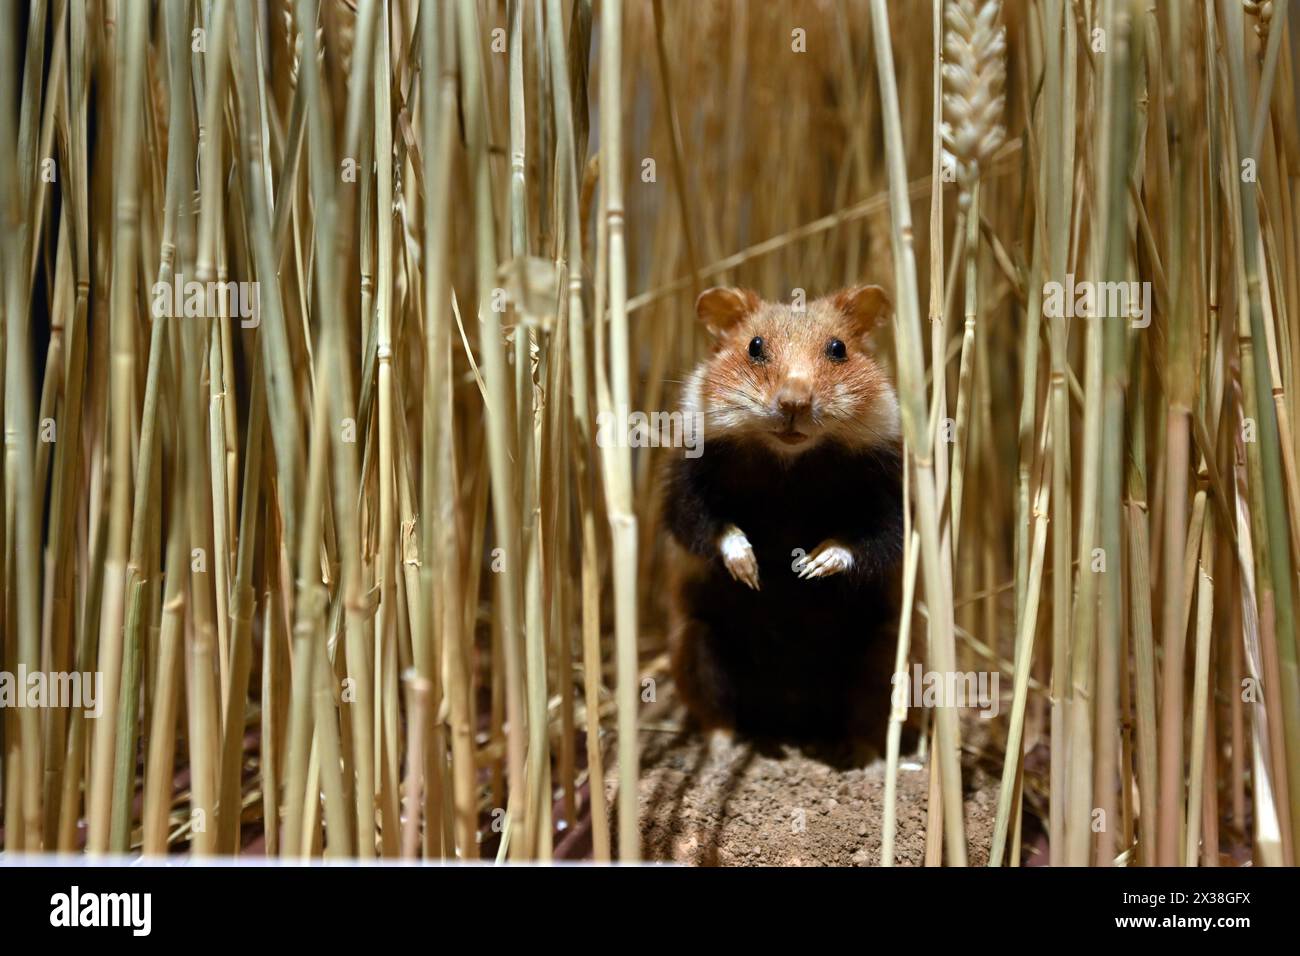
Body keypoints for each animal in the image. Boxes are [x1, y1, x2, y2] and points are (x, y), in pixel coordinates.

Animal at [662, 285, 905, 741]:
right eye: (754, 347)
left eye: (838, 349)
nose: (794, 403)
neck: (789, 460)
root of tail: (792, 716)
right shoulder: (685, 489)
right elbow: (706, 526)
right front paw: (750, 571)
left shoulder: (891, 495)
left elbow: (874, 539)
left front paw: (811, 565)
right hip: (694, 641)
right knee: (717, 714)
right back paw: (724, 747)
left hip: (885, 650)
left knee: (866, 719)